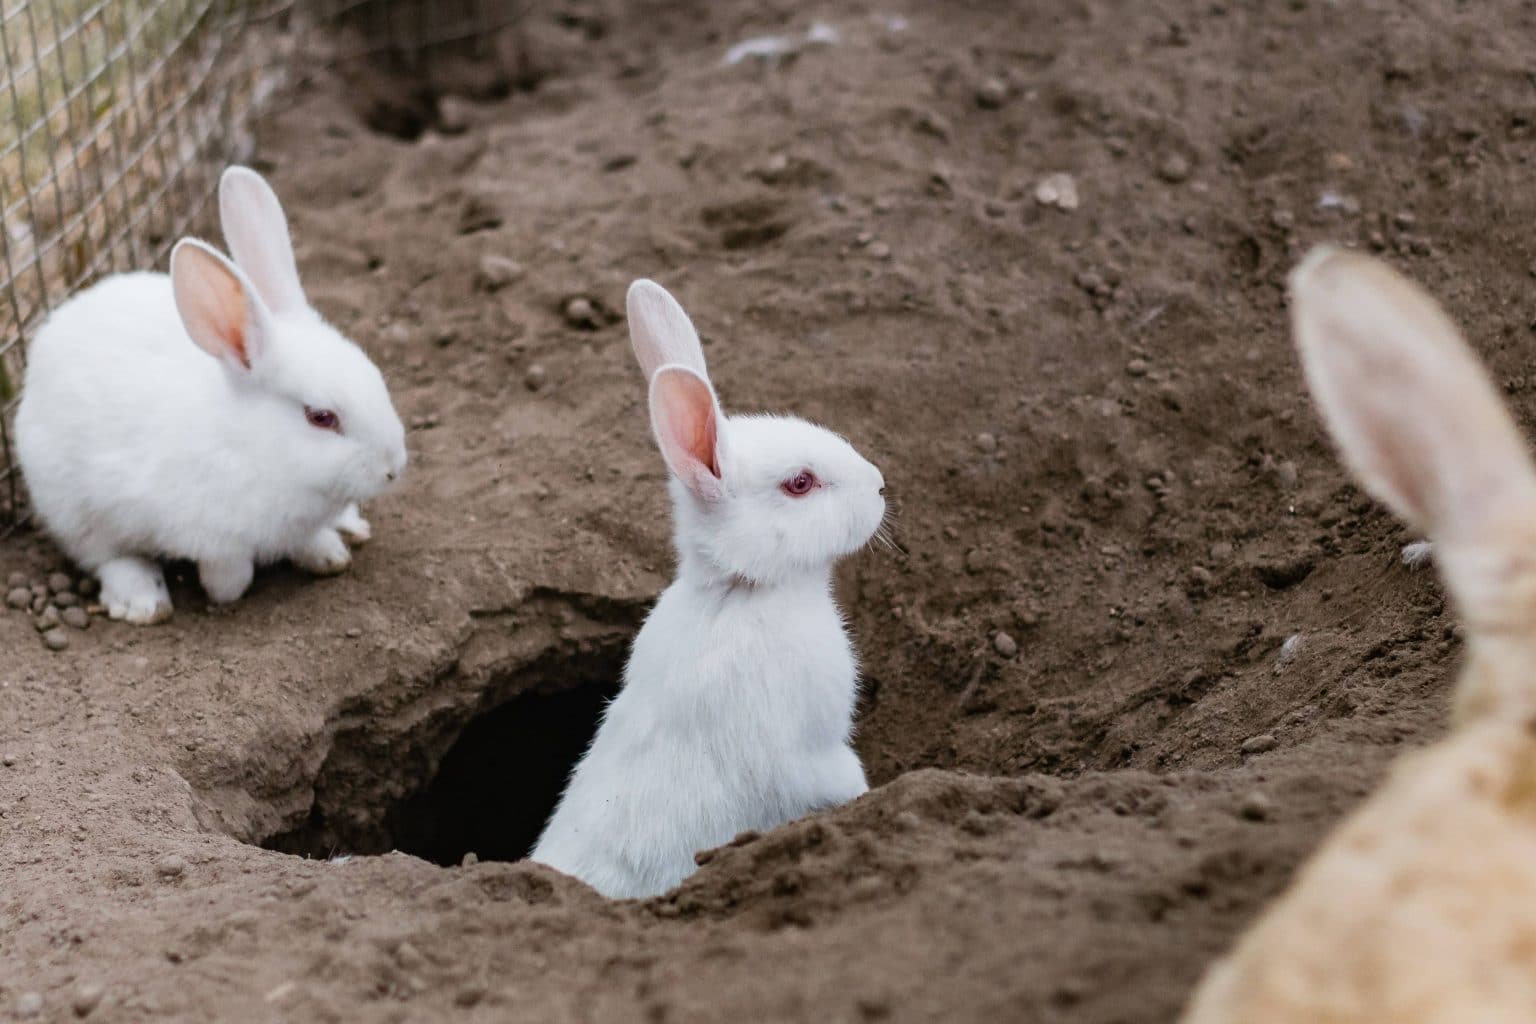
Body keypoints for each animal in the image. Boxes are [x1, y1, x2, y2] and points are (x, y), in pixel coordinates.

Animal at [13, 166, 407, 625]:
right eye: (321, 417)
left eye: (376, 376)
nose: (393, 468)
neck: (253, 447)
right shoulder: (213, 537)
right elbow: (229, 568)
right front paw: (226, 594)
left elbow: (308, 540)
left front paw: (329, 554)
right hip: (71, 507)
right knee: (107, 556)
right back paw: (143, 601)